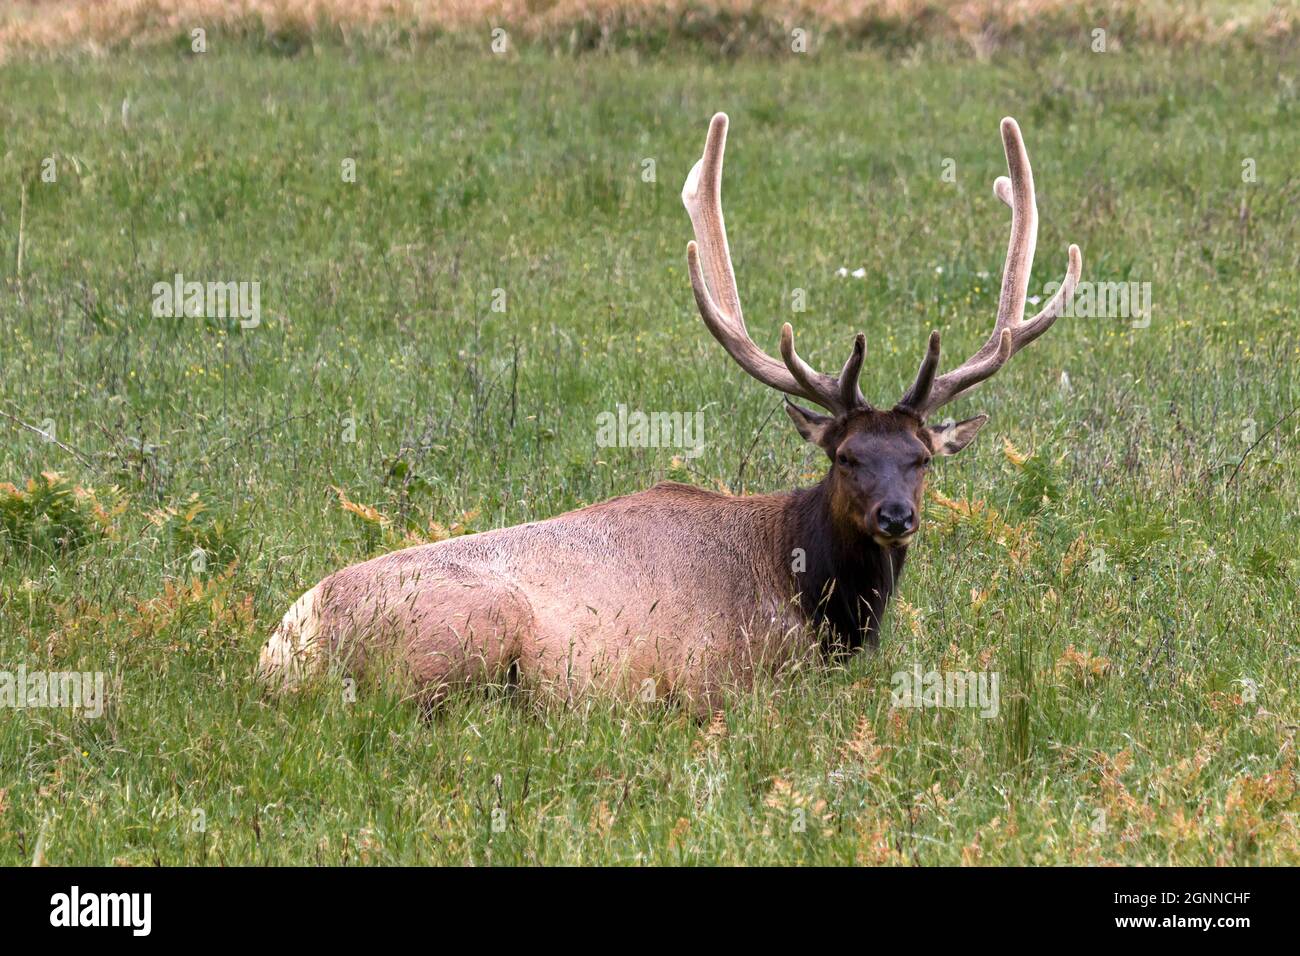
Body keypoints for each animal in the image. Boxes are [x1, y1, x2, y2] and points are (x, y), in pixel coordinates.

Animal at [258, 111, 1081, 712]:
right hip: (463, 636)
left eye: (921, 459)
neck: (818, 604)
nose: (896, 516)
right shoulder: (722, 678)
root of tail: (291, 641)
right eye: (845, 457)